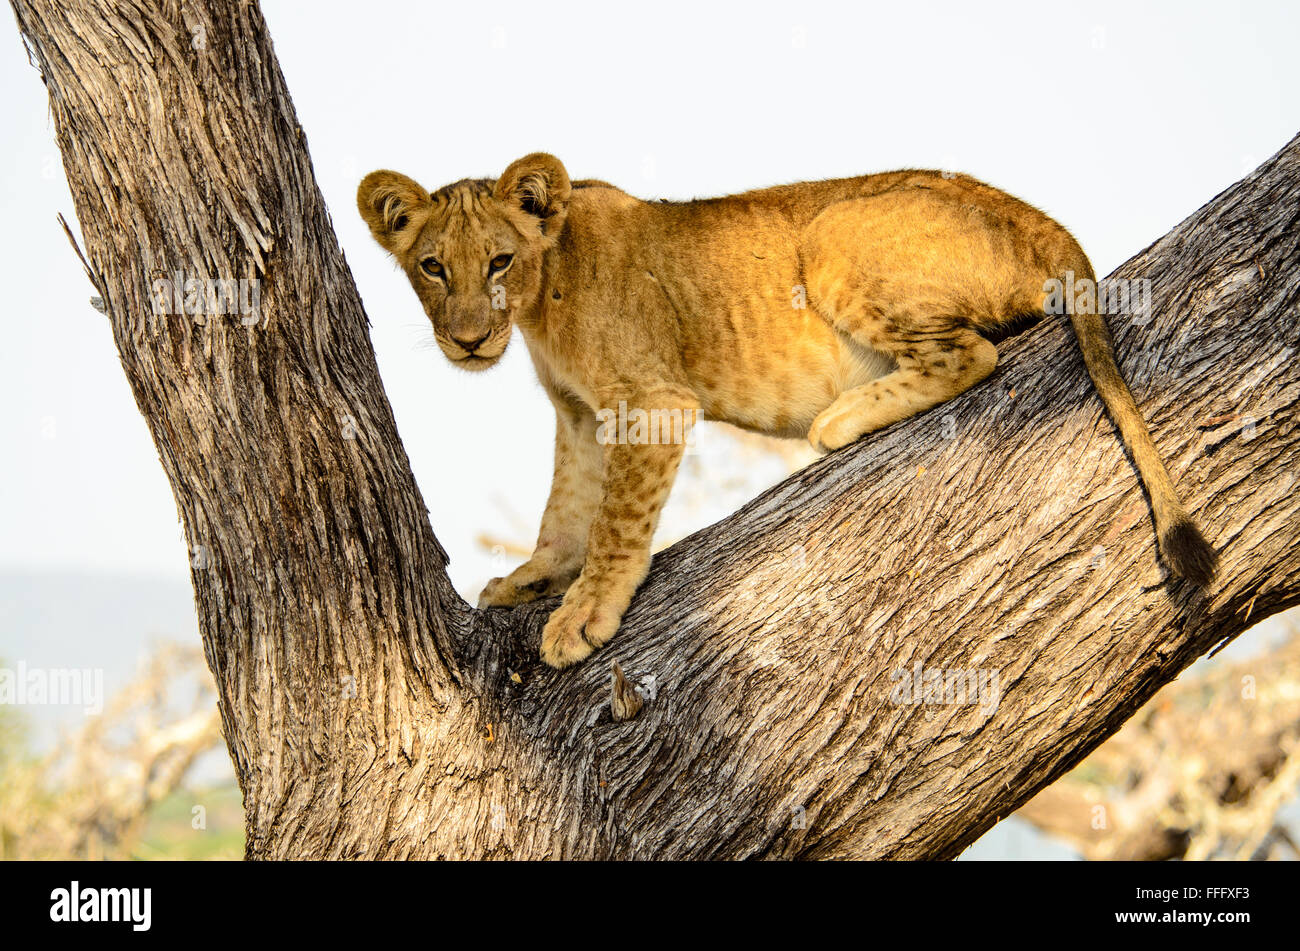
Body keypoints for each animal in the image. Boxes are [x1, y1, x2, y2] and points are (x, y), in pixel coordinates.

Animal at [358, 153, 1216, 668]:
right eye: (432, 267)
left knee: (973, 354)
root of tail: (1027, 210)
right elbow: (565, 505)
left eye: (499, 261)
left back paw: (839, 417)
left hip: (832, 233)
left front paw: (585, 611)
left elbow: (615, 522)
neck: (542, 301)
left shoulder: (653, 403)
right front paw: (535, 576)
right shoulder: (579, 412)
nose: (469, 340)